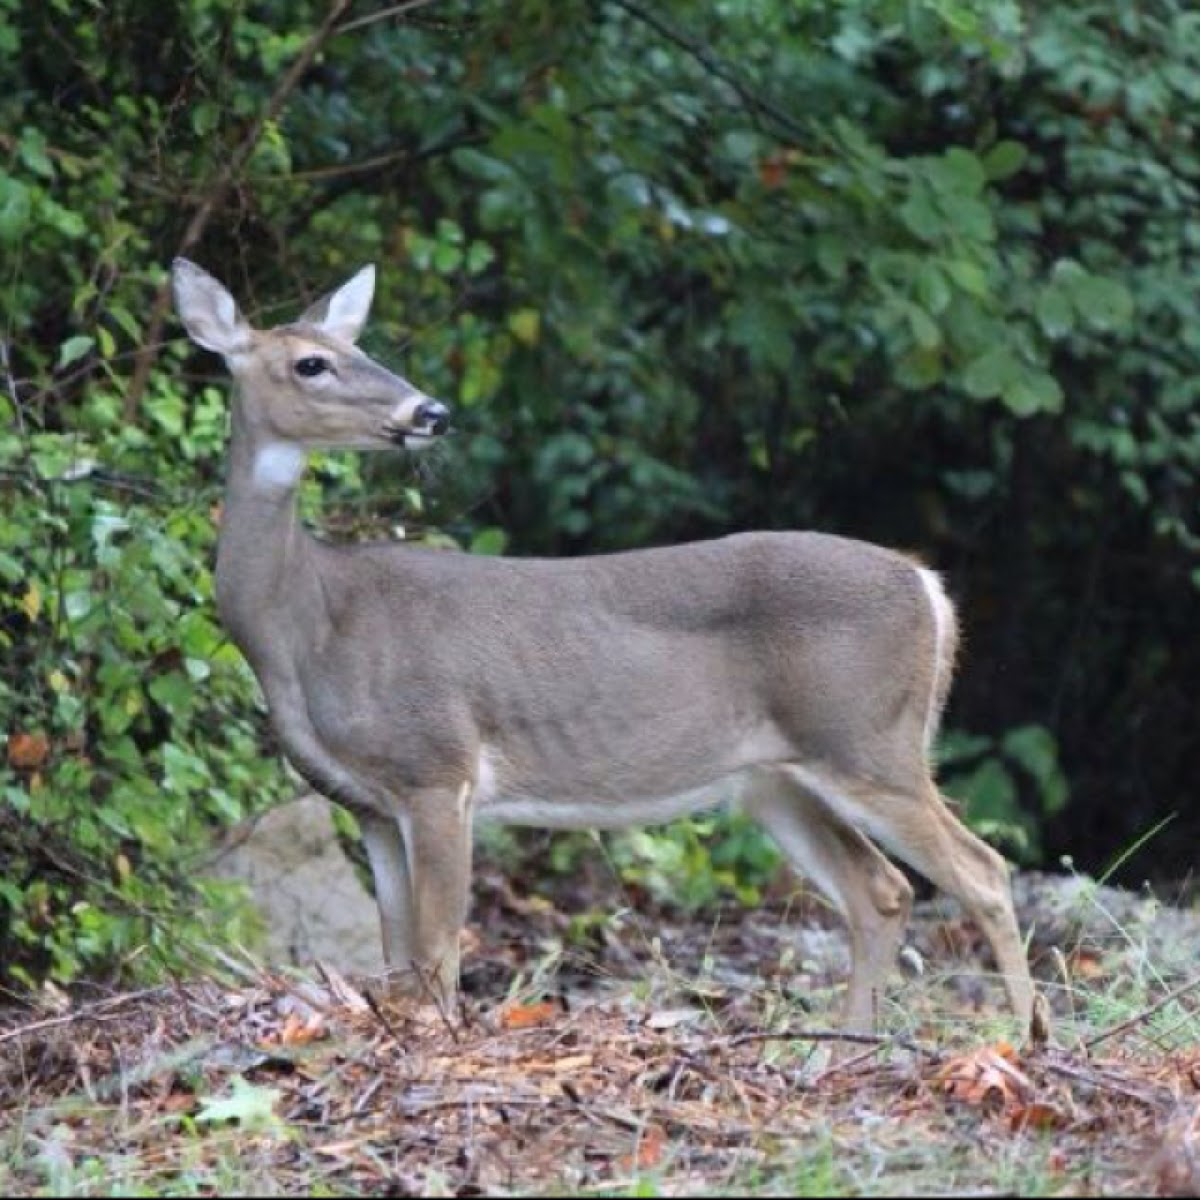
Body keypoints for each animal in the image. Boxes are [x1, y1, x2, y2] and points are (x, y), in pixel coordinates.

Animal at [171, 258, 1038, 1040]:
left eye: (356, 347)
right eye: (311, 362)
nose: (431, 411)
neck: (309, 623)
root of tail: (929, 587)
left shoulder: (439, 768)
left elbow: (437, 953)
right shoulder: (369, 805)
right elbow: (397, 958)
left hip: (866, 738)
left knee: (983, 873)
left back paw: (1026, 1042)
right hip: (777, 779)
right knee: (881, 891)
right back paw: (839, 1053)